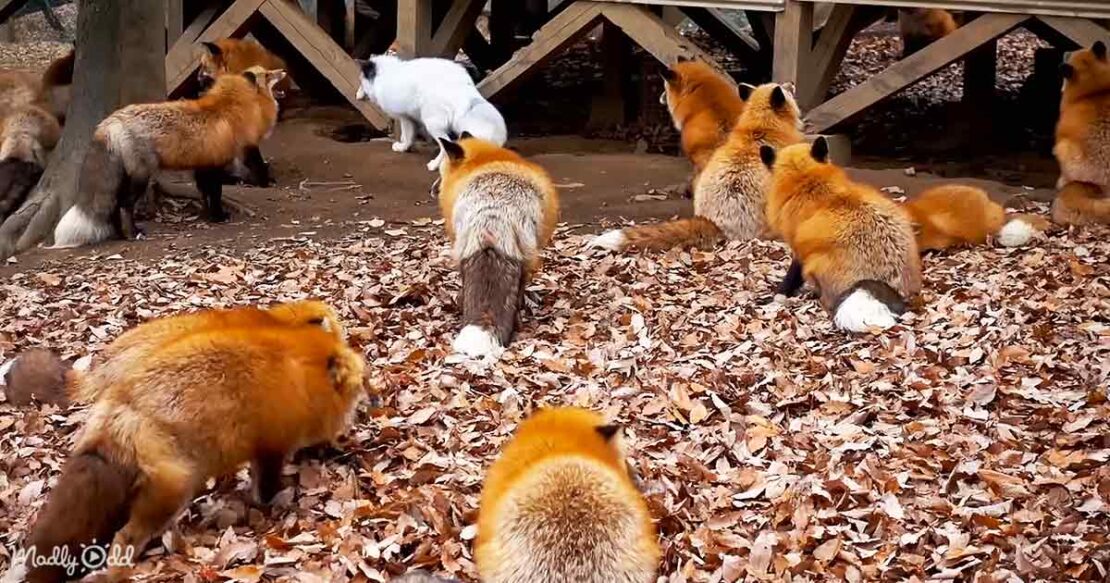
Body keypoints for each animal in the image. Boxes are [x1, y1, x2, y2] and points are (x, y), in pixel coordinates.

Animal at [18, 322, 366, 582]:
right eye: (359, 388)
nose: (354, 426)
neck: (301, 375)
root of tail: (120, 405)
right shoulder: (271, 447)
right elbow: (265, 490)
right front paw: (275, 504)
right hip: (173, 491)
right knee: (124, 537)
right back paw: (115, 573)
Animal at [51, 67, 285, 249]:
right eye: (268, 74)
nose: (283, 70)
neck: (226, 110)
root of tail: (109, 122)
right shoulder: (215, 165)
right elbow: (216, 193)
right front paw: (219, 216)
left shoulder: (203, 166)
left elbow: (205, 194)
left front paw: (209, 215)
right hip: (141, 177)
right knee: (125, 204)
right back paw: (132, 233)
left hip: (125, 177)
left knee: (115, 205)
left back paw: (119, 234)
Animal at [761, 138, 922, 332]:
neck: (808, 182)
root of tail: (894, 286)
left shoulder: (798, 249)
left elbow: (790, 278)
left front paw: (777, 294)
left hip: (815, 263)